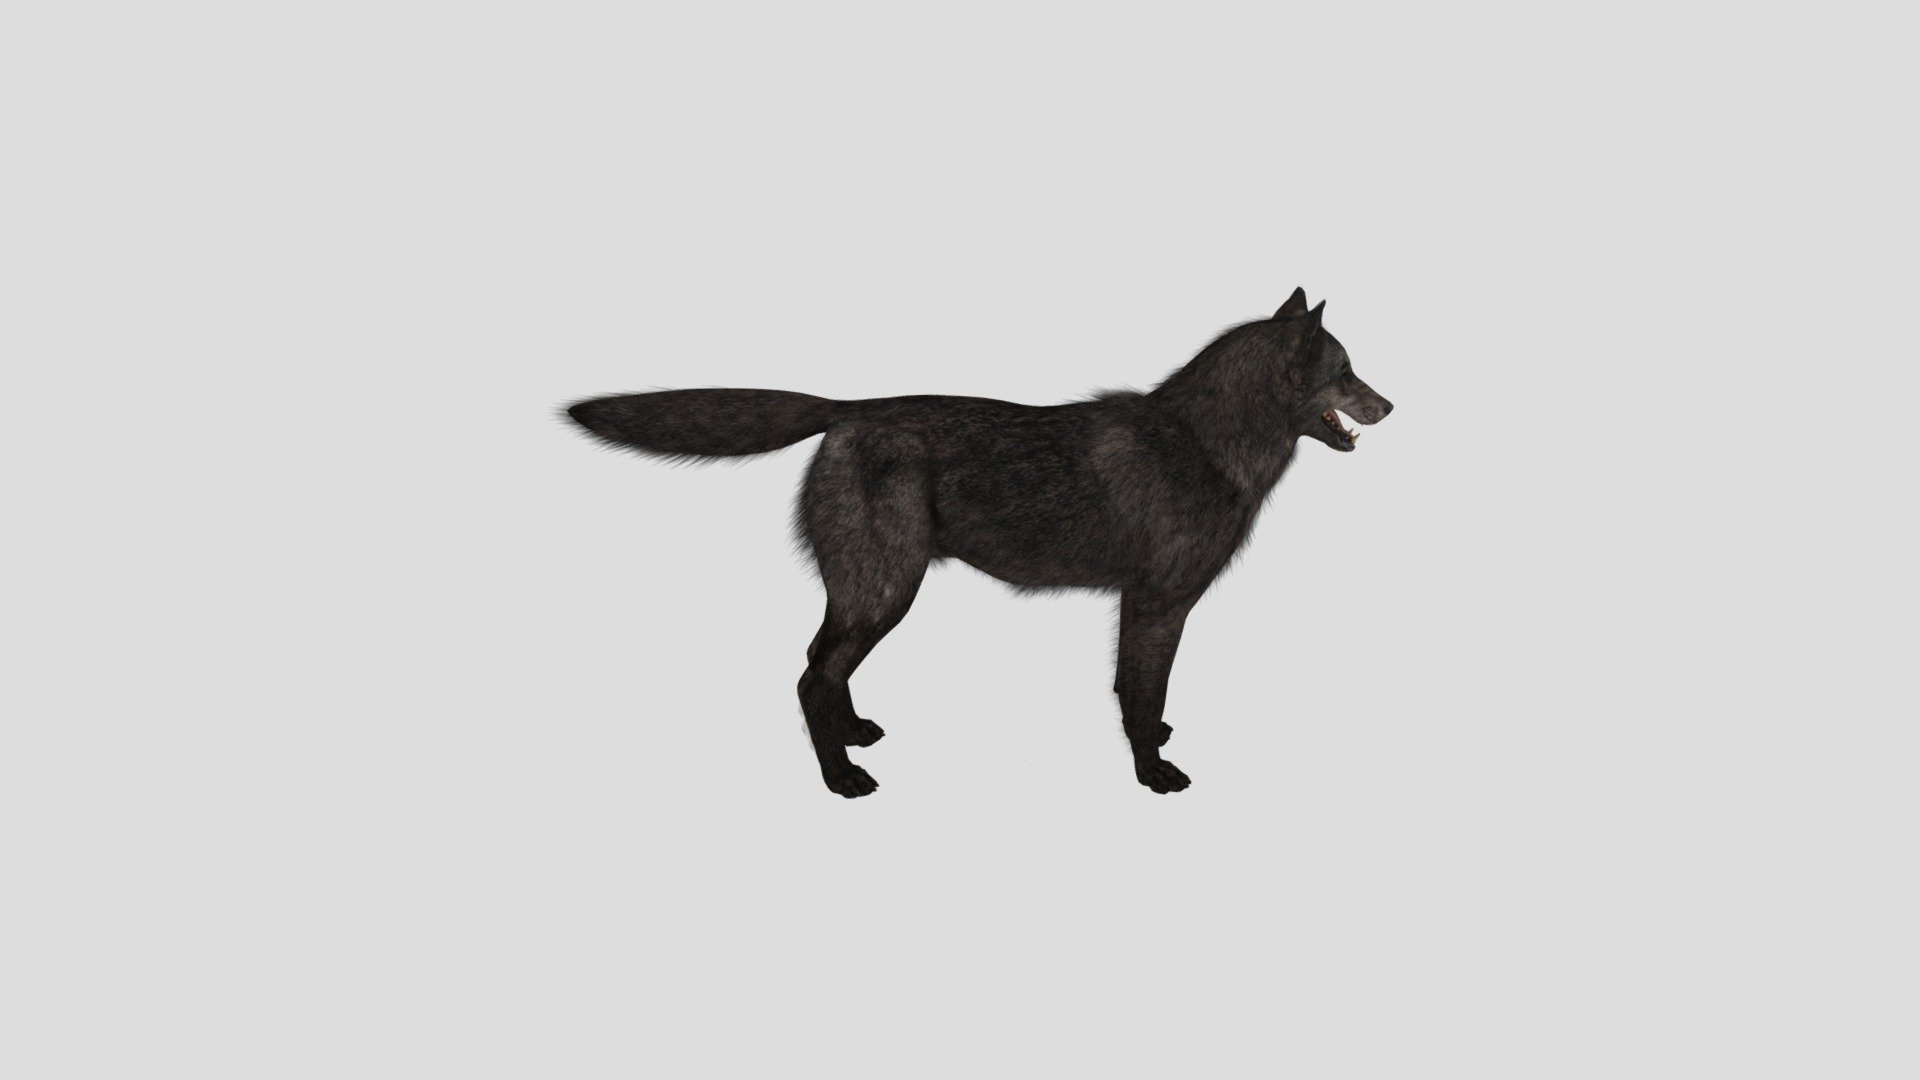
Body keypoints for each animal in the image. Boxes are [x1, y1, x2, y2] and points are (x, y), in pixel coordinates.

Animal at [565, 288, 1393, 797]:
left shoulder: (1147, 608)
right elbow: (1140, 692)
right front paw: (1152, 771)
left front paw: (1152, 741)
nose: (1391, 404)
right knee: (809, 677)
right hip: (885, 592)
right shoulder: (1157, 605)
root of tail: (846, 410)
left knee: (820, 667)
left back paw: (854, 735)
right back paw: (840, 779)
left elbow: (1134, 690)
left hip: (866, 595)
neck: (1204, 444)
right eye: (1347, 372)